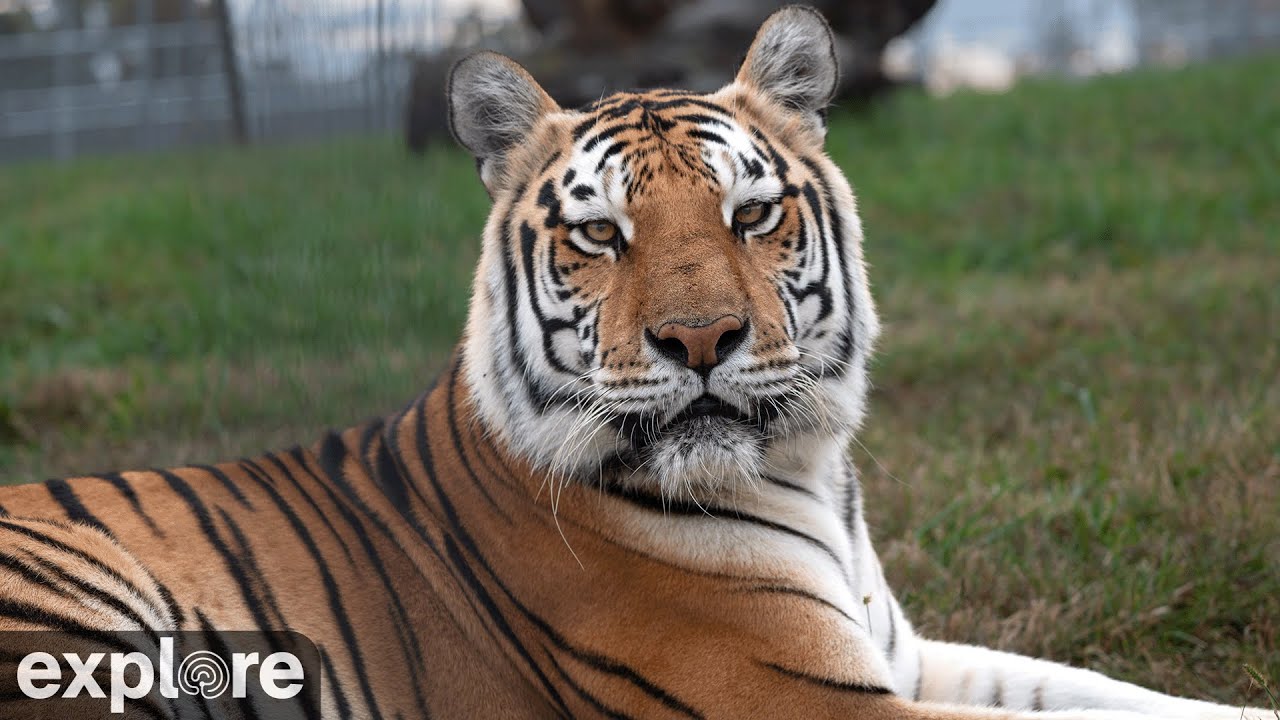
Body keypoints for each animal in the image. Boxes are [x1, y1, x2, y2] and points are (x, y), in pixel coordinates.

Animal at [0, 6, 1269, 719]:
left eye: (749, 215)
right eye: (601, 234)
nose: (699, 340)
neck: (807, 476)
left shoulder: (901, 661)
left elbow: (1122, 698)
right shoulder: (805, 702)